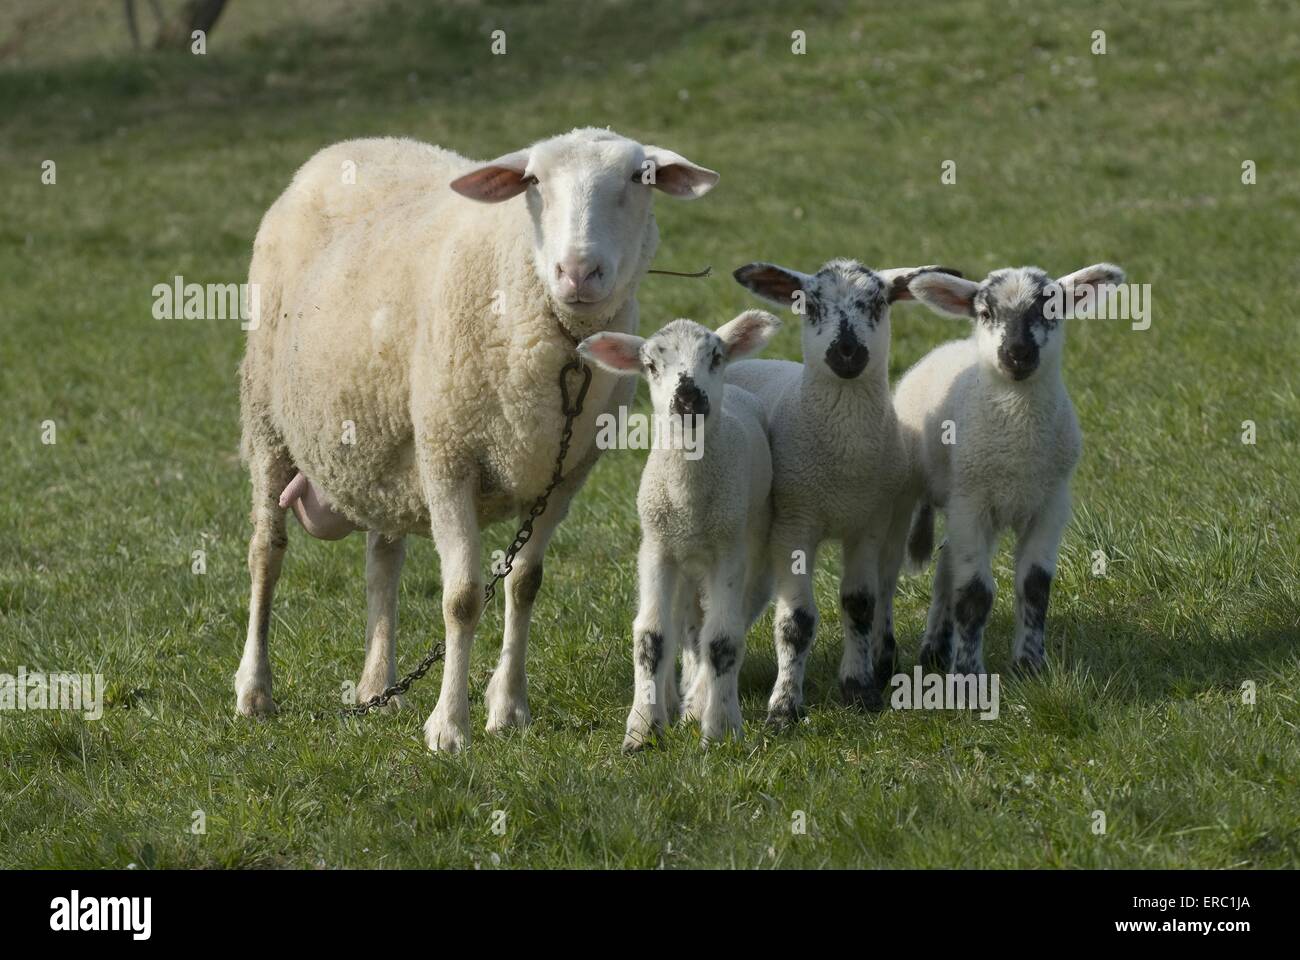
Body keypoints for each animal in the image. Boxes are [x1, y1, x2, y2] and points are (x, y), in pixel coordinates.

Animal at [235, 128, 719, 753]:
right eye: (533, 181)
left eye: (641, 179)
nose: (578, 272)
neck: (562, 347)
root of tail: (350, 144)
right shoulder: (448, 457)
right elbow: (463, 597)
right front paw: (449, 726)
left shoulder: (565, 475)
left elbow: (525, 583)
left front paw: (508, 707)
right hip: (267, 417)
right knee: (266, 553)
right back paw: (255, 691)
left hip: (387, 445)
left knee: (382, 563)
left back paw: (376, 684)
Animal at [578, 309, 781, 748]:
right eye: (651, 366)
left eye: (716, 357)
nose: (688, 399)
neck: (689, 504)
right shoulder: (656, 548)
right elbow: (651, 636)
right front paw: (642, 730)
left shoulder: (728, 551)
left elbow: (722, 640)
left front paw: (720, 729)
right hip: (684, 562)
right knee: (686, 626)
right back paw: (676, 698)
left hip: (753, 551)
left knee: (720, 625)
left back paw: (697, 701)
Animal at [727, 259, 963, 722]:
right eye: (810, 304)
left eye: (877, 303)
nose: (848, 351)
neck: (844, 463)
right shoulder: (795, 525)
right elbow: (796, 622)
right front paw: (783, 707)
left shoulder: (866, 524)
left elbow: (859, 605)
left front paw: (859, 689)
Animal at [896, 263, 1125, 676]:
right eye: (986, 313)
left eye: (1051, 308)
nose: (1017, 352)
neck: (1019, 446)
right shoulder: (972, 502)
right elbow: (974, 594)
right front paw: (967, 674)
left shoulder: (1050, 504)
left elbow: (1035, 585)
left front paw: (1030, 663)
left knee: (945, 568)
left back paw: (936, 648)